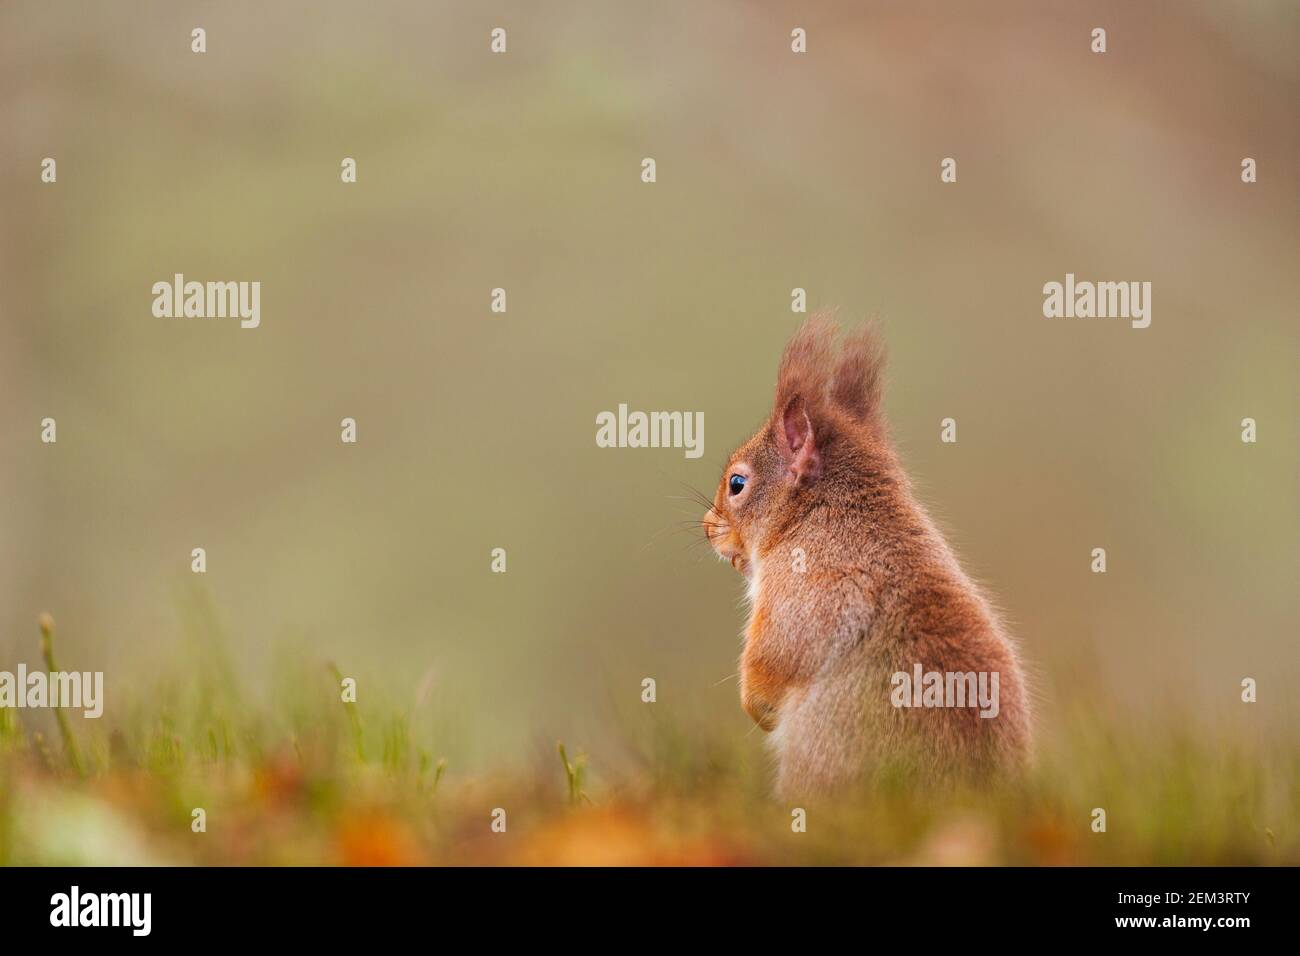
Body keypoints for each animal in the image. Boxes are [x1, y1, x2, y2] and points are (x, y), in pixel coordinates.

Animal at [703, 314, 1032, 799]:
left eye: (737, 484)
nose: (708, 528)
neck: (824, 517)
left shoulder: (807, 588)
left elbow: (776, 655)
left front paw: (757, 707)